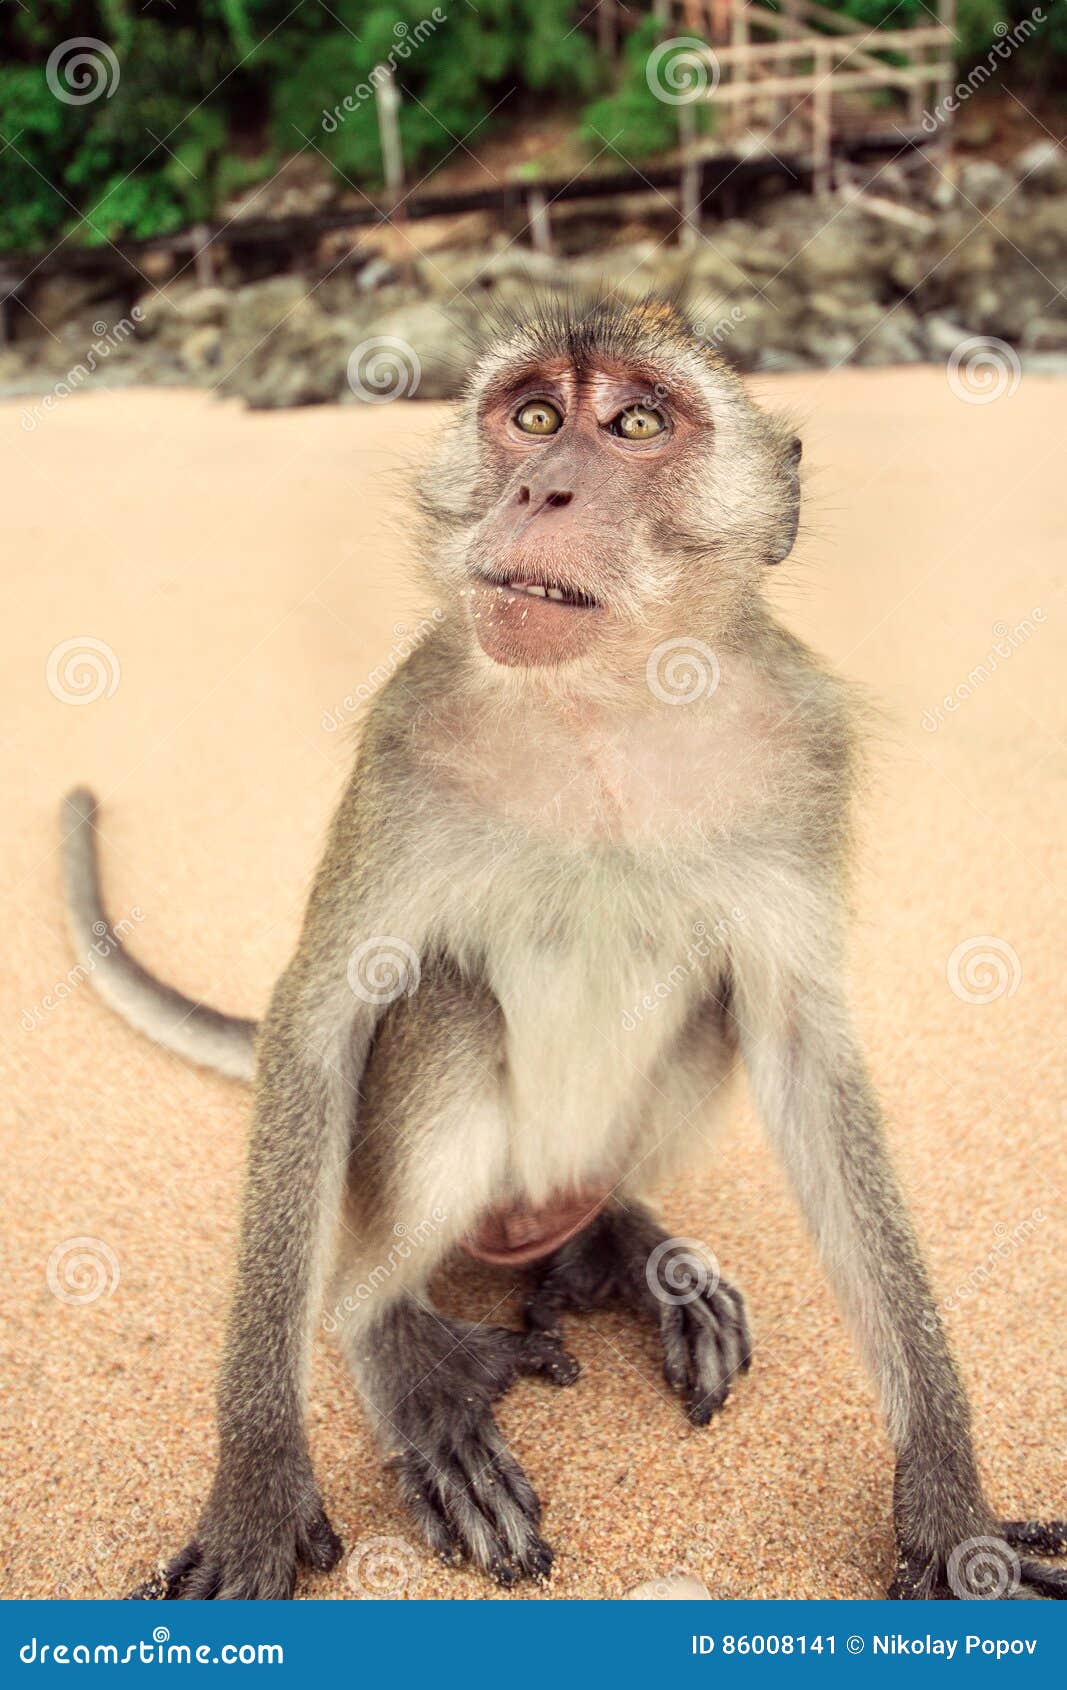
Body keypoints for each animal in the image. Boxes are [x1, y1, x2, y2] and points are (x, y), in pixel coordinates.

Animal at [61, 297, 1066, 1601]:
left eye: (636, 423)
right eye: (534, 416)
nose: (541, 487)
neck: (607, 700)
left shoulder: (806, 749)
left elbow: (799, 1047)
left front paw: (950, 1503)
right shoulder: (407, 731)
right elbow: (323, 1014)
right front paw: (256, 1480)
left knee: (710, 1013)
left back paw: (617, 1238)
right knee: (440, 1014)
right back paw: (393, 1333)